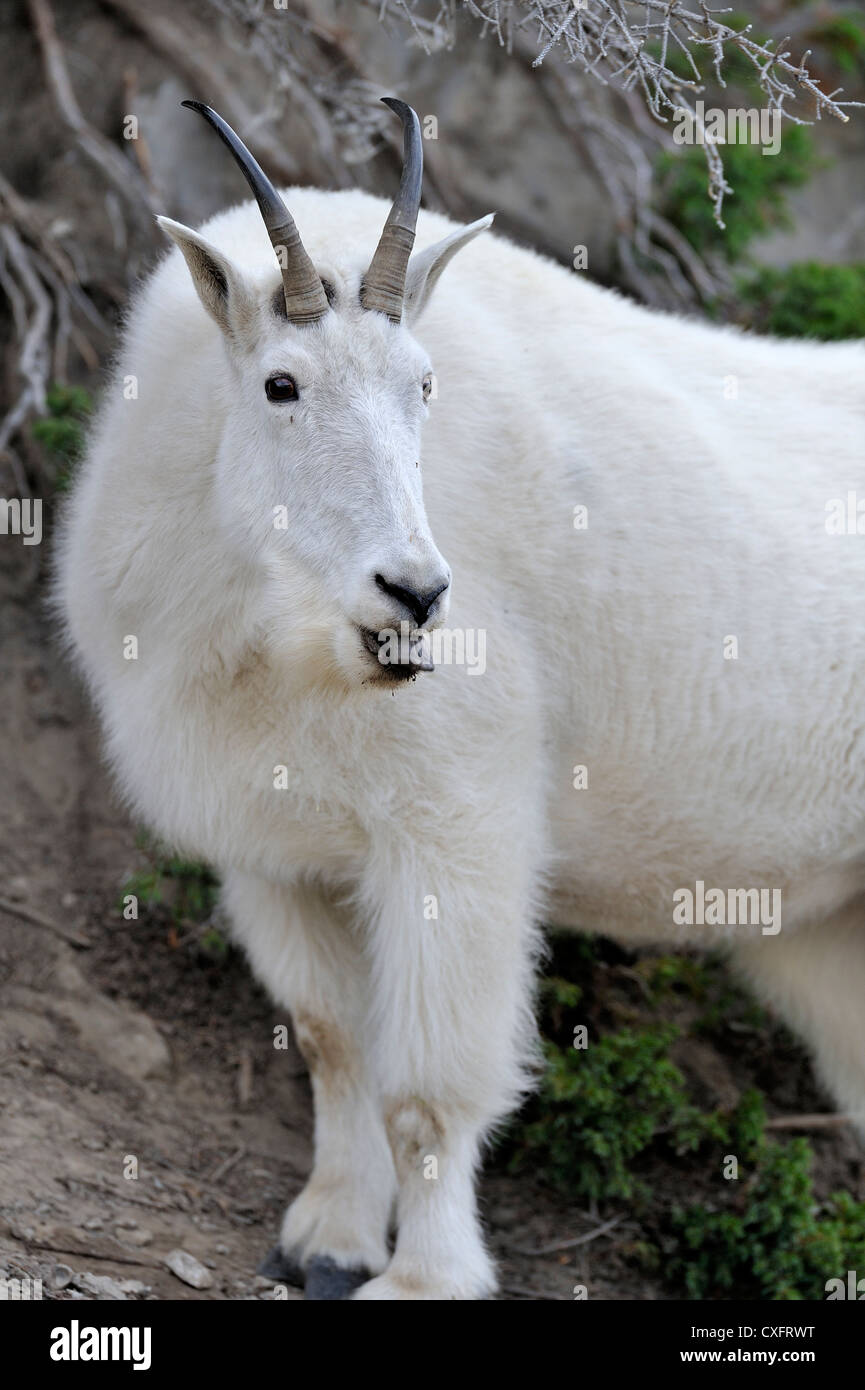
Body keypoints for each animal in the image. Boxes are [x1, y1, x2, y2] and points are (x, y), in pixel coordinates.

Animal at [57, 97, 865, 1299]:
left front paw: (421, 1279)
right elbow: (333, 1040)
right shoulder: (276, 853)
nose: (417, 594)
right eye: (281, 384)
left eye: (423, 387)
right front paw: (328, 1240)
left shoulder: (455, 826)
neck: (265, 621)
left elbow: (429, 1087)